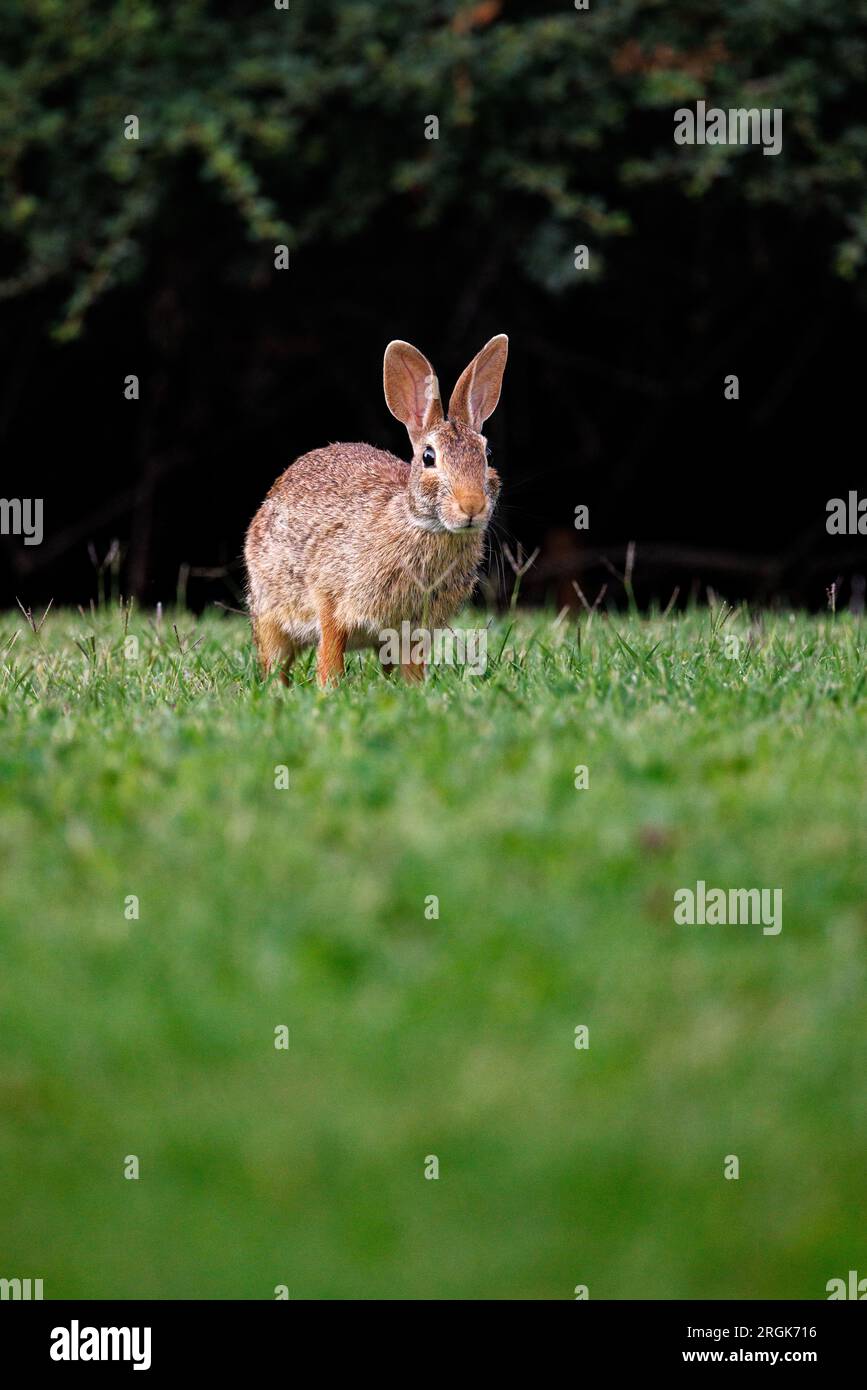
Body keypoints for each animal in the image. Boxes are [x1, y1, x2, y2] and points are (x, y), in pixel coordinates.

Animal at [244, 334, 508, 686]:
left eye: (487, 455)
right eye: (428, 457)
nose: (472, 506)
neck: (418, 522)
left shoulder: (414, 629)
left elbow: (413, 663)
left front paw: (414, 689)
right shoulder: (330, 598)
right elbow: (330, 649)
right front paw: (330, 688)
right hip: (270, 611)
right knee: (275, 658)